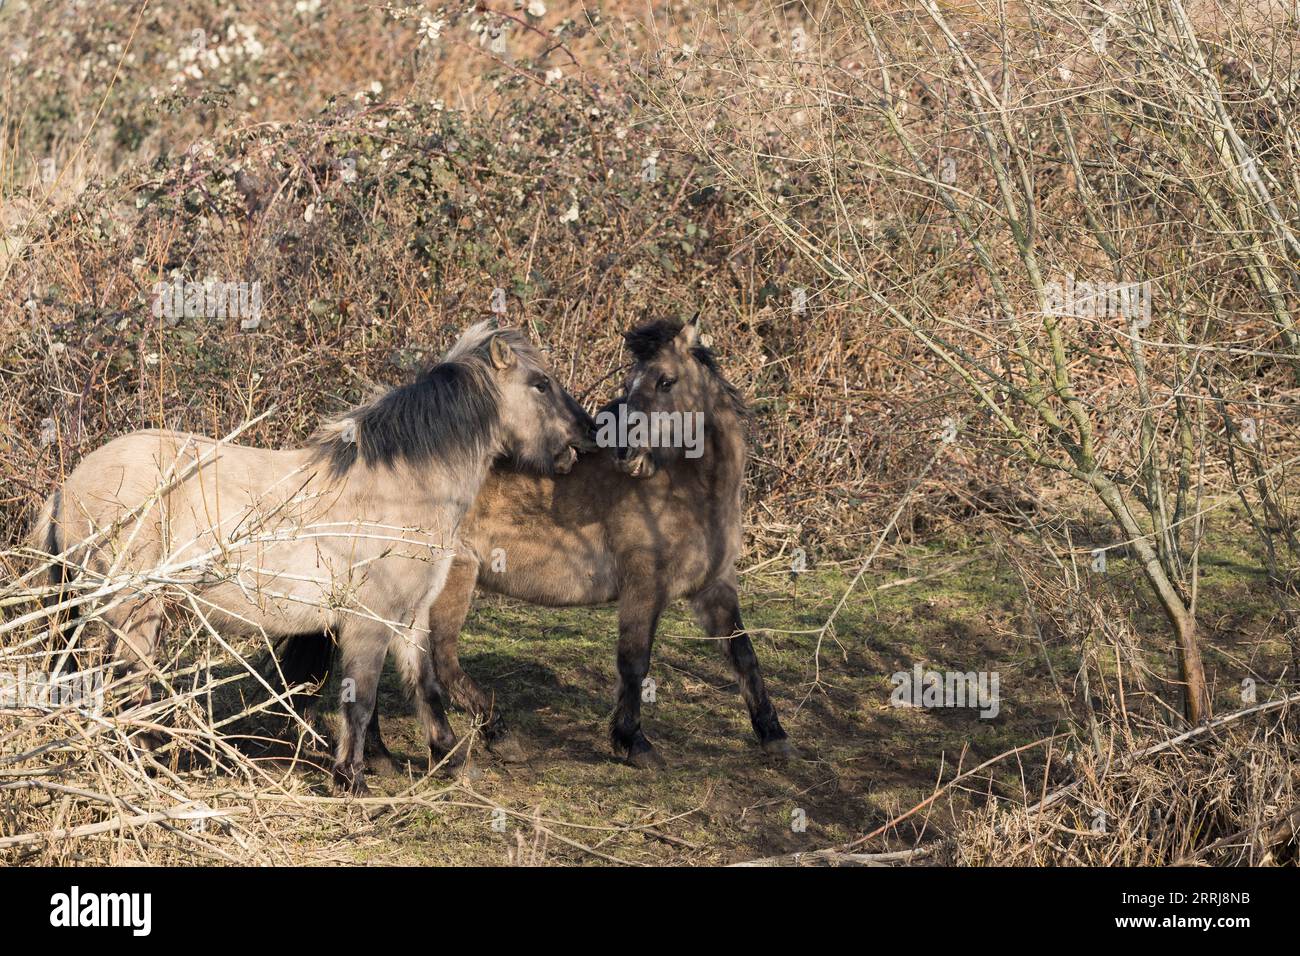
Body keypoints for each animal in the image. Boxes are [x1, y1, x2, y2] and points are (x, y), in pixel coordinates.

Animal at [30, 321, 594, 793]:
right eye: (542, 383)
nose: (588, 436)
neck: (399, 490)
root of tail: (66, 488)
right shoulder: (369, 622)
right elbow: (361, 700)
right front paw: (352, 779)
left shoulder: (410, 618)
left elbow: (427, 687)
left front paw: (450, 759)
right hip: (134, 612)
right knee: (127, 688)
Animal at [278, 316, 792, 769]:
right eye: (631, 382)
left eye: (666, 380)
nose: (621, 449)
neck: (688, 490)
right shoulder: (643, 588)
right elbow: (634, 662)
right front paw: (634, 742)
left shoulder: (714, 589)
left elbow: (744, 656)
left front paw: (774, 734)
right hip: (449, 583)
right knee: (438, 660)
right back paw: (493, 735)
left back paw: (382, 755)